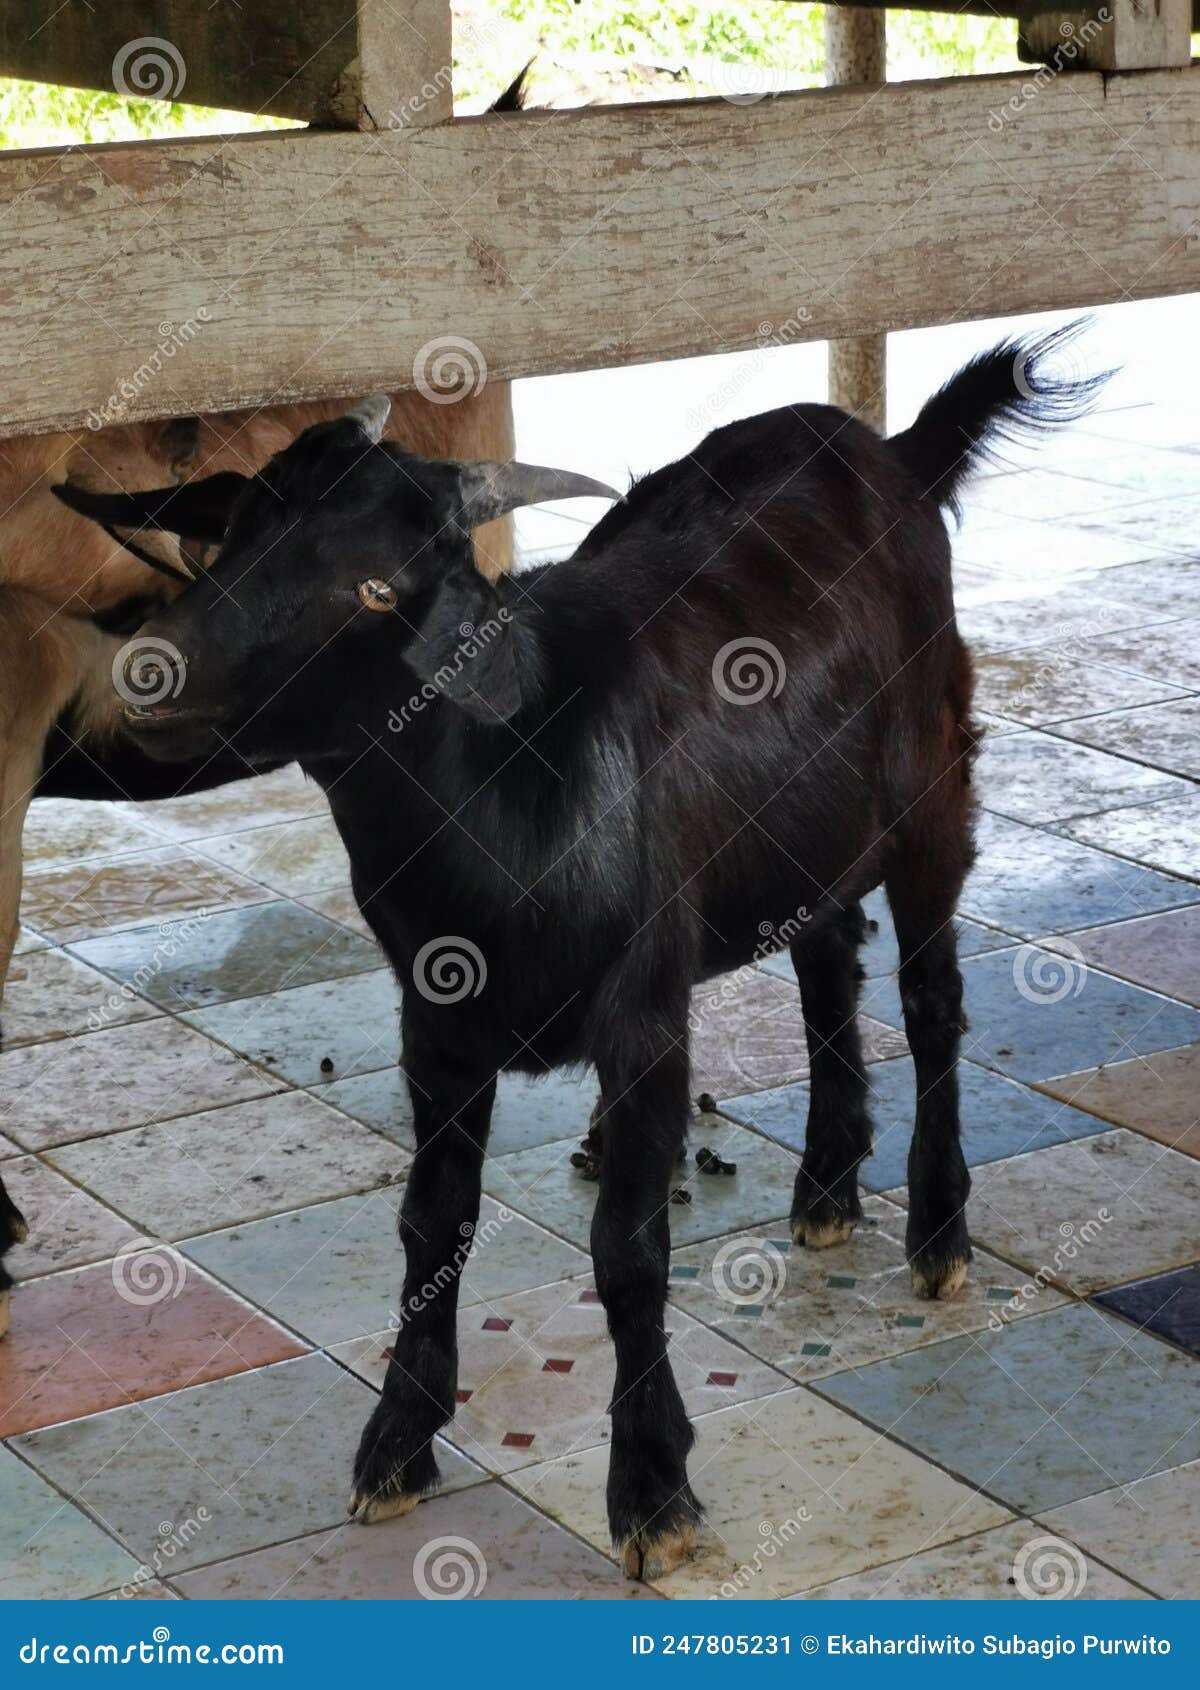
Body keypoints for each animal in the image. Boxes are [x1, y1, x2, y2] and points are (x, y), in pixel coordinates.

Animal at [47, 330, 1100, 1578]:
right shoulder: (435, 1023)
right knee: (827, 962)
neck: (509, 794)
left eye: (376, 587)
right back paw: (829, 1183)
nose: (151, 675)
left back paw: (938, 1232)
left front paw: (653, 1492)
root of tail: (890, 453)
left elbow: (628, 1251)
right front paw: (397, 1444)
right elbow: (433, 1221)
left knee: (933, 999)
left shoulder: (644, 1019)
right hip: (797, 831)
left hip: (933, 790)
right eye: (232, 539)